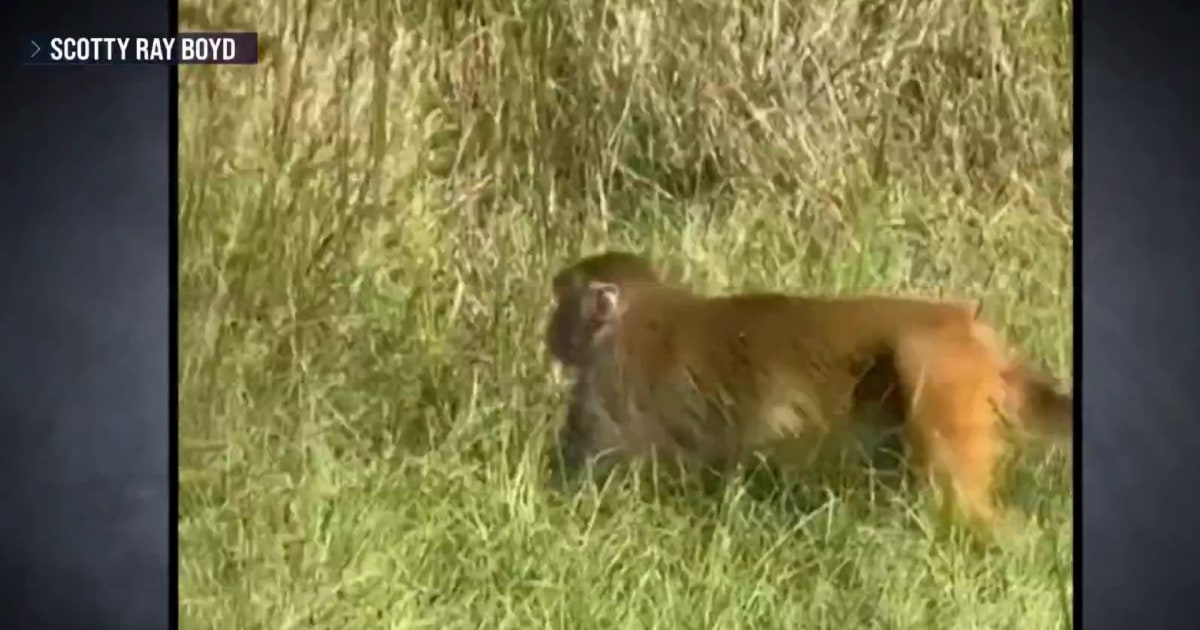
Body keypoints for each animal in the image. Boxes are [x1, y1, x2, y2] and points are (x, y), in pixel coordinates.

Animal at [544, 251, 1073, 535]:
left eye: (561, 302)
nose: (549, 333)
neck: (634, 314)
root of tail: (972, 331)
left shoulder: (611, 381)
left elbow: (598, 474)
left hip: (943, 375)